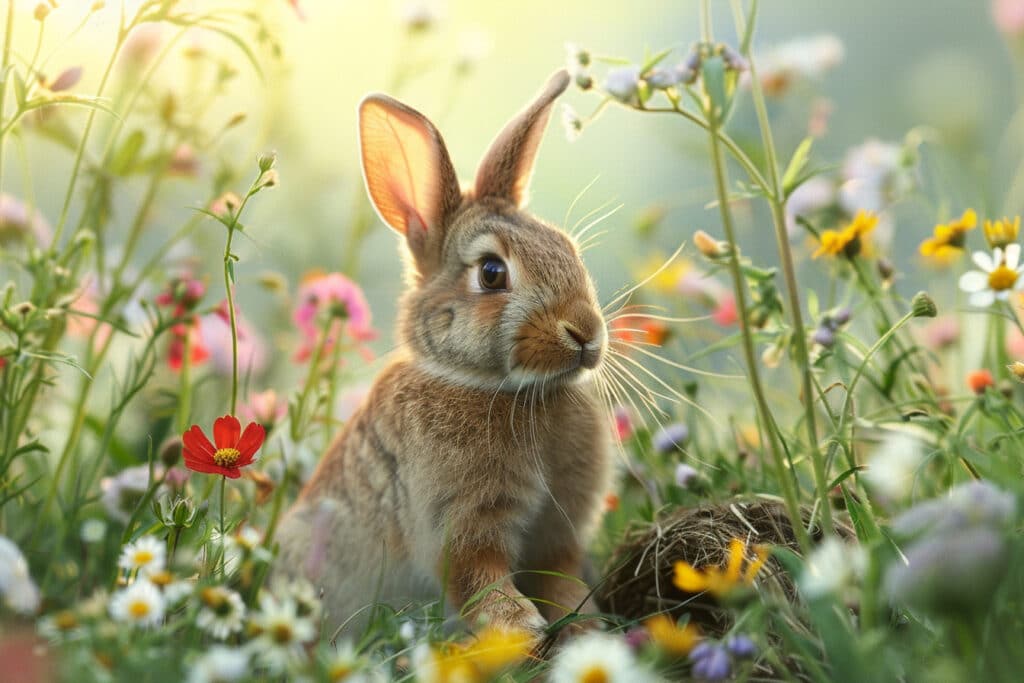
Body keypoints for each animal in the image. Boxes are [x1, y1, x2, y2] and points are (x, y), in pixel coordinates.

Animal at [274, 69, 613, 639]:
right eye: (492, 273)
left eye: (567, 248)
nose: (585, 333)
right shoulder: (461, 523)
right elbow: (478, 577)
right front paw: (519, 630)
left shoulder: (559, 530)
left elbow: (561, 579)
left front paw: (587, 628)